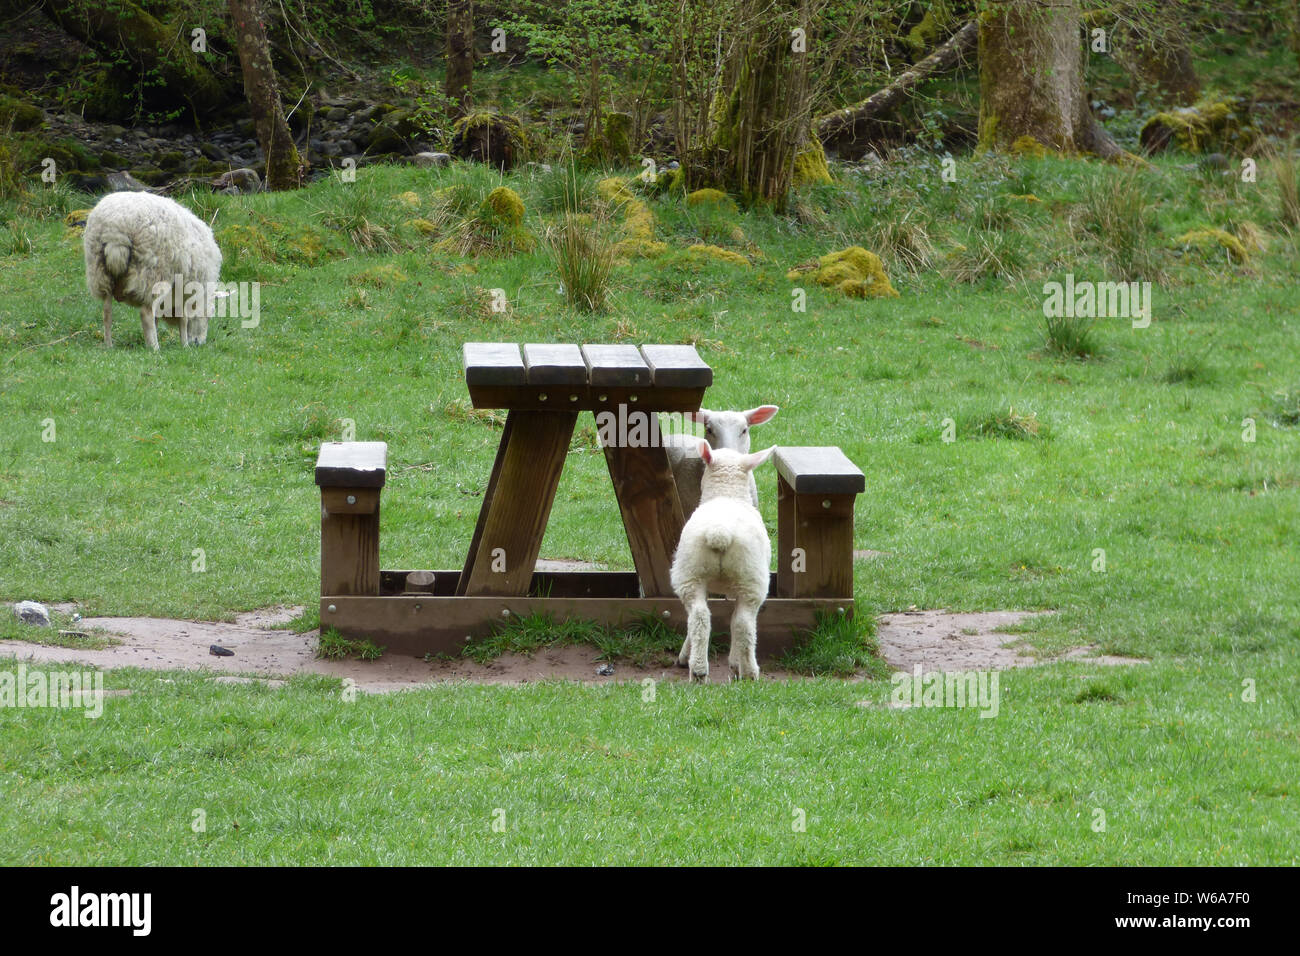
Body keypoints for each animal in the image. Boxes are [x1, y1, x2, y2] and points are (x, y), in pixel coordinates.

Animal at [83, 191, 222, 350]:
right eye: (210, 315)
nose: (199, 343)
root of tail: (115, 229)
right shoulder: (182, 292)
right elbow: (184, 319)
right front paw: (185, 345)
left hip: (100, 271)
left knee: (107, 311)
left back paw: (109, 345)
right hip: (152, 274)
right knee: (146, 313)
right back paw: (155, 349)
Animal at [670, 441, 776, 682]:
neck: (727, 493)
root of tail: (720, 532)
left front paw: (685, 655)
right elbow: (735, 618)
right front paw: (735, 661)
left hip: (692, 572)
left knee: (699, 617)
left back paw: (698, 670)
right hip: (751, 578)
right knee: (743, 623)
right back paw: (749, 672)